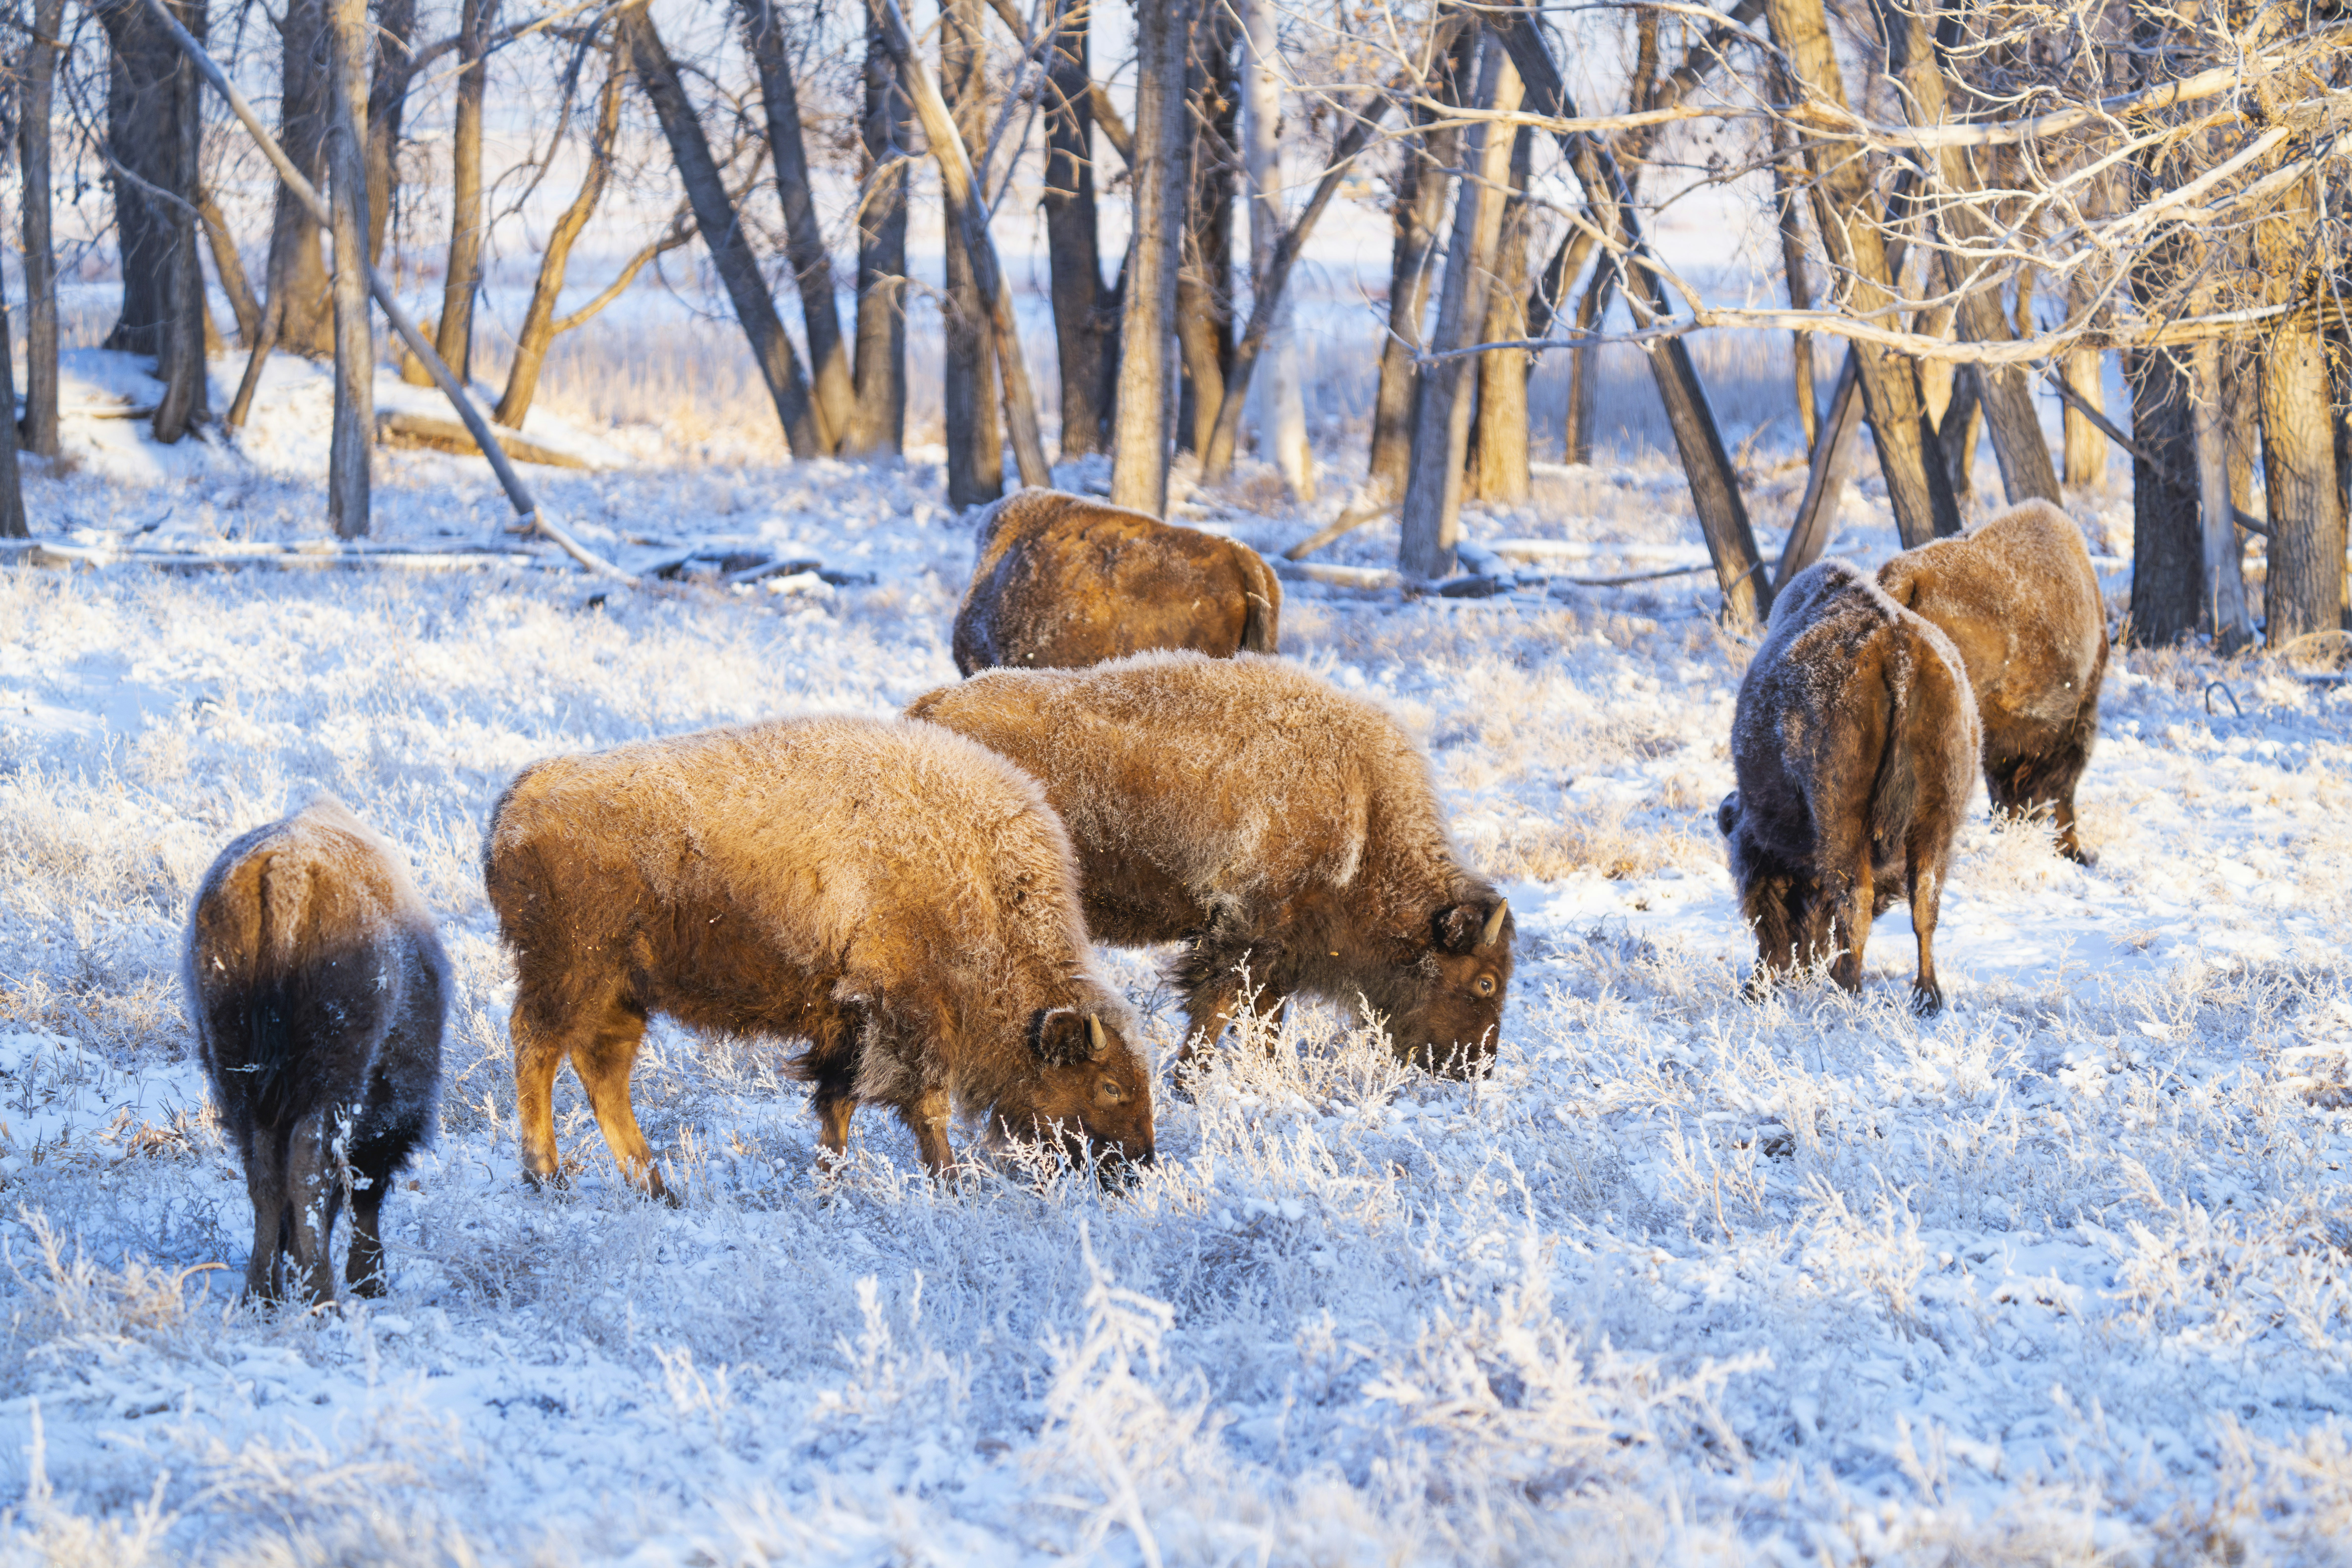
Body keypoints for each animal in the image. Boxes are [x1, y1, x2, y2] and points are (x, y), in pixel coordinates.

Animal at [185, 795, 446, 1305]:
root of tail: (288, 873)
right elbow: (363, 1188)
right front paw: (368, 1279)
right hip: (331, 1078)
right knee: (311, 1170)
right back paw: (323, 1299)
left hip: (238, 1076)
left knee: (266, 1175)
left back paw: (263, 1296)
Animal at [483, 715, 1153, 1195]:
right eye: (1109, 1087)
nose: (1139, 1167)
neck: (978, 878)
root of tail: (525, 796)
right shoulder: (910, 1016)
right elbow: (924, 1107)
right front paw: (950, 1186)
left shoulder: (848, 1024)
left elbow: (839, 1104)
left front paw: (830, 1183)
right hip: (571, 971)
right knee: (537, 1048)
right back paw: (546, 1175)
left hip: (623, 991)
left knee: (602, 1073)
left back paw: (656, 1190)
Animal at [908, 651, 1513, 1075]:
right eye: (1485, 982)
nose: (1473, 1069)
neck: (1361, 802)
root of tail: (929, 711)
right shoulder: (1244, 932)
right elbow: (1217, 1009)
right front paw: (1190, 1084)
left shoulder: (1277, 952)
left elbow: (1265, 1020)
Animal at [1717, 559, 1980, 1013]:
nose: (1755, 987)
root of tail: (1898, 653)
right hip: (1938, 821)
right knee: (1924, 905)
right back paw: (1926, 997)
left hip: (1842, 818)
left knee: (1855, 900)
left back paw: (1845, 988)